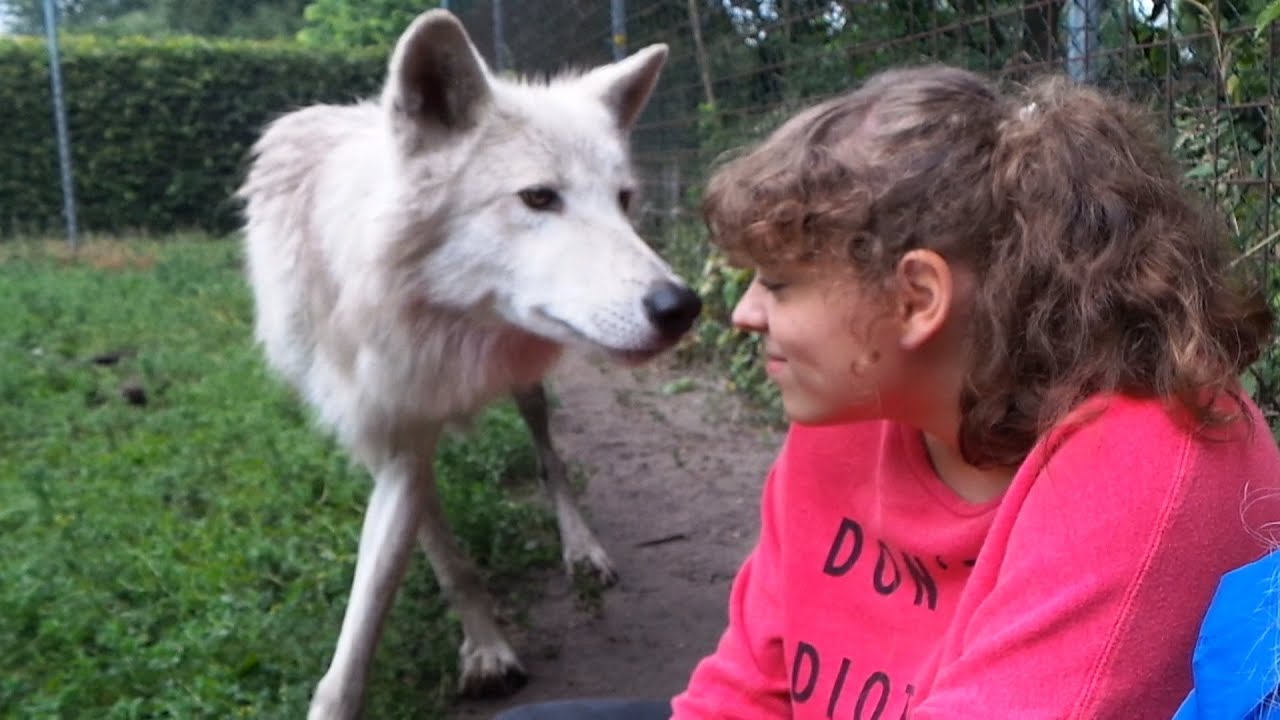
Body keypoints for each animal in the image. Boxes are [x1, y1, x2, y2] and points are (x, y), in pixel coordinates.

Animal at [235, 9, 700, 719]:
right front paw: (487, 648)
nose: (682, 306)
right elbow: (425, 567)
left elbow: (372, 607)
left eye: (624, 200)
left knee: (548, 454)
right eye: (538, 197)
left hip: (531, 385)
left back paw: (582, 548)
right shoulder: (394, 431)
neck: (433, 324)